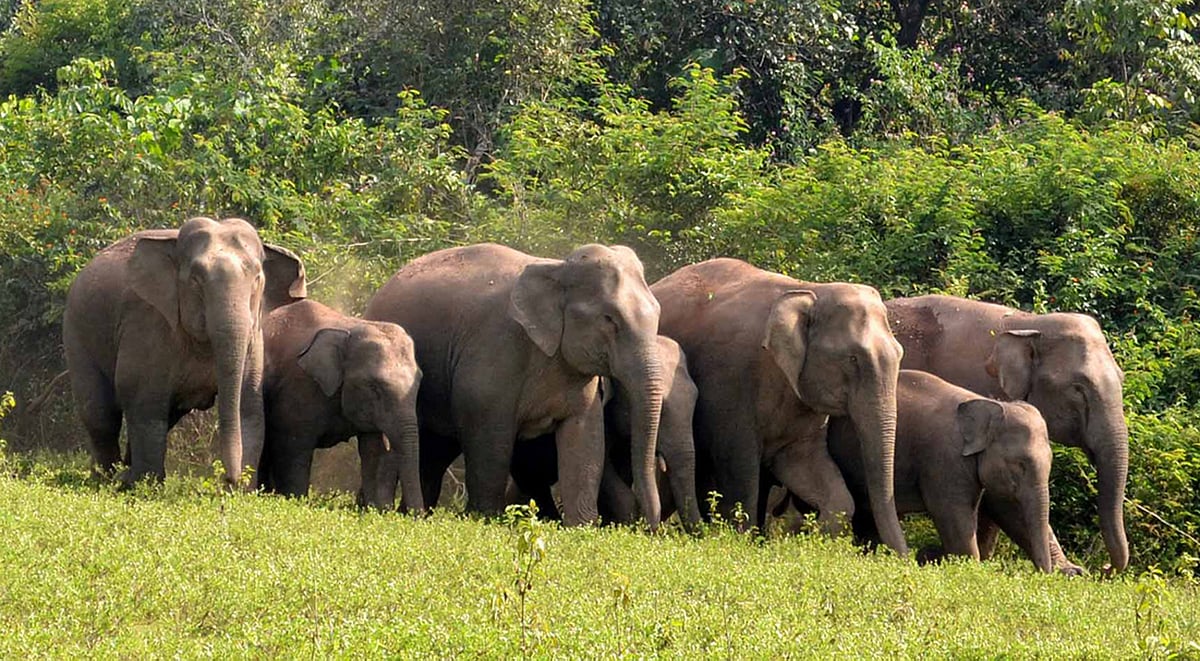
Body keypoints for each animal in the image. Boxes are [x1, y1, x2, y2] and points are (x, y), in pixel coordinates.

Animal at [63, 217, 306, 486]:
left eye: (257, 279)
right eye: (196, 280)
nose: (228, 480)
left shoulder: (254, 338)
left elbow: (248, 407)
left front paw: (243, 489)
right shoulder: (147, 322)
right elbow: (143, 400)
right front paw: (146, 485)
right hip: (77, 332)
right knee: (100, 413)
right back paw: (107, 478)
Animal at [258, 299, 423, 511]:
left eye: (420, 380)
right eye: (374, 387)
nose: (416, 514)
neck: (349, 330)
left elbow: (374, 451)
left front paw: (374, 510)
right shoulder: (298, 387)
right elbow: (293, 448)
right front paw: (294, 501)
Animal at [364, 243, 665, 528]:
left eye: (658, 313)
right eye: (609, 319)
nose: (649, 526)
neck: (556, 267)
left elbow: (585, 436)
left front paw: (582, 527)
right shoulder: (494, 353)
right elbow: (490, 434)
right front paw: (485, 518)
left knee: (435, 454)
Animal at [652, 258, 909, 555]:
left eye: (900, 354)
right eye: (853, 359)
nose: (905, 558)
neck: (810, 290)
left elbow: (806, 465)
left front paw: (811, 542)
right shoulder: (732, 380)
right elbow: (740, 469)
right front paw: (744, 543)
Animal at [820, 370, 1054, 572]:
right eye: (1019, 464)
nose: (1045, 573)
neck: (988, 403)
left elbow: (1006, 509)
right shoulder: (944, 459)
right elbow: (954, 517)